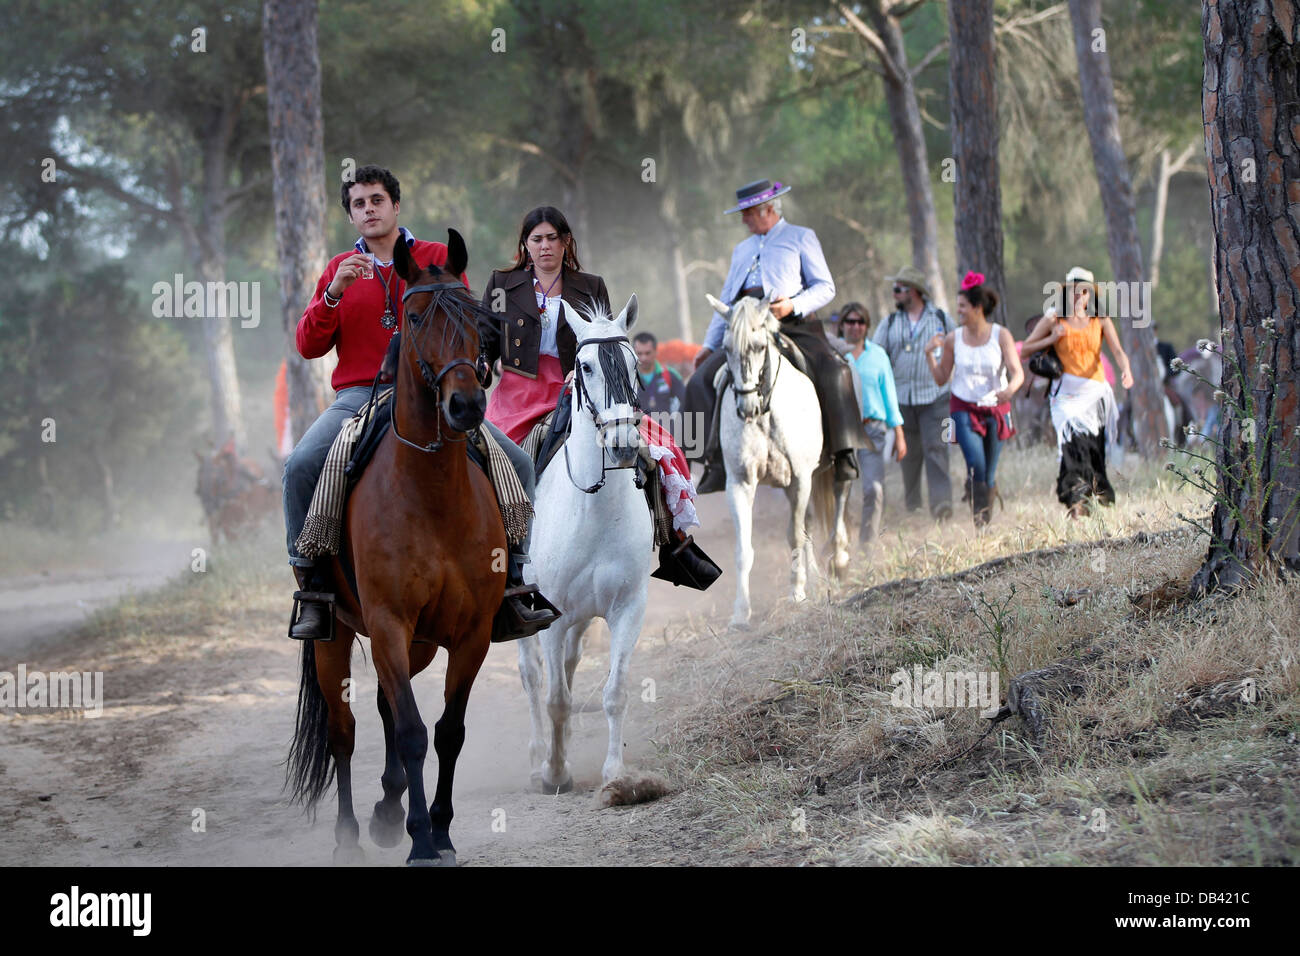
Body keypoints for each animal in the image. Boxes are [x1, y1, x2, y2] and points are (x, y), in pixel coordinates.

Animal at [286, 229, 504, 867]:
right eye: (414, 316)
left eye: (478, 318)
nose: (465, 406)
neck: (431, 492)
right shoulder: (386, 621)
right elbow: (410, 732)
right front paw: (422, 843)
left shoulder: (471, 633)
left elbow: (448, 731)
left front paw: (441, 831)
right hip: (335, 636)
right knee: (345, 730)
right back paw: (350, 835)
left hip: (421, 643)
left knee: (385, 705)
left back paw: (388, 810)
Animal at [517, 296, 654, 794]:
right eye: (587, 366)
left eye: (634, 365)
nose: (622, 444)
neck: (594, 511)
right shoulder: (551, 616)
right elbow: (555, 696)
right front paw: (554, 771)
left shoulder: (628, 608)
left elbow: (615, 691)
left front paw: (616, 773)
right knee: (533, 676)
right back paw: (538, 756)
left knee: (572, 667)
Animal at [705, 293, 851, 628]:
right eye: (726, 348)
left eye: (760, 346)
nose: (746, 407)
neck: (766, 413)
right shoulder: (741, 483)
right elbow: (744, 548)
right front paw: (740, 613)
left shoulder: (799, 478)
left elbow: (794, 535)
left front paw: (796, 593)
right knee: (809, 522)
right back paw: (815, 577)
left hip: (830, 466)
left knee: (839, 494)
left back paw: (838, 560)